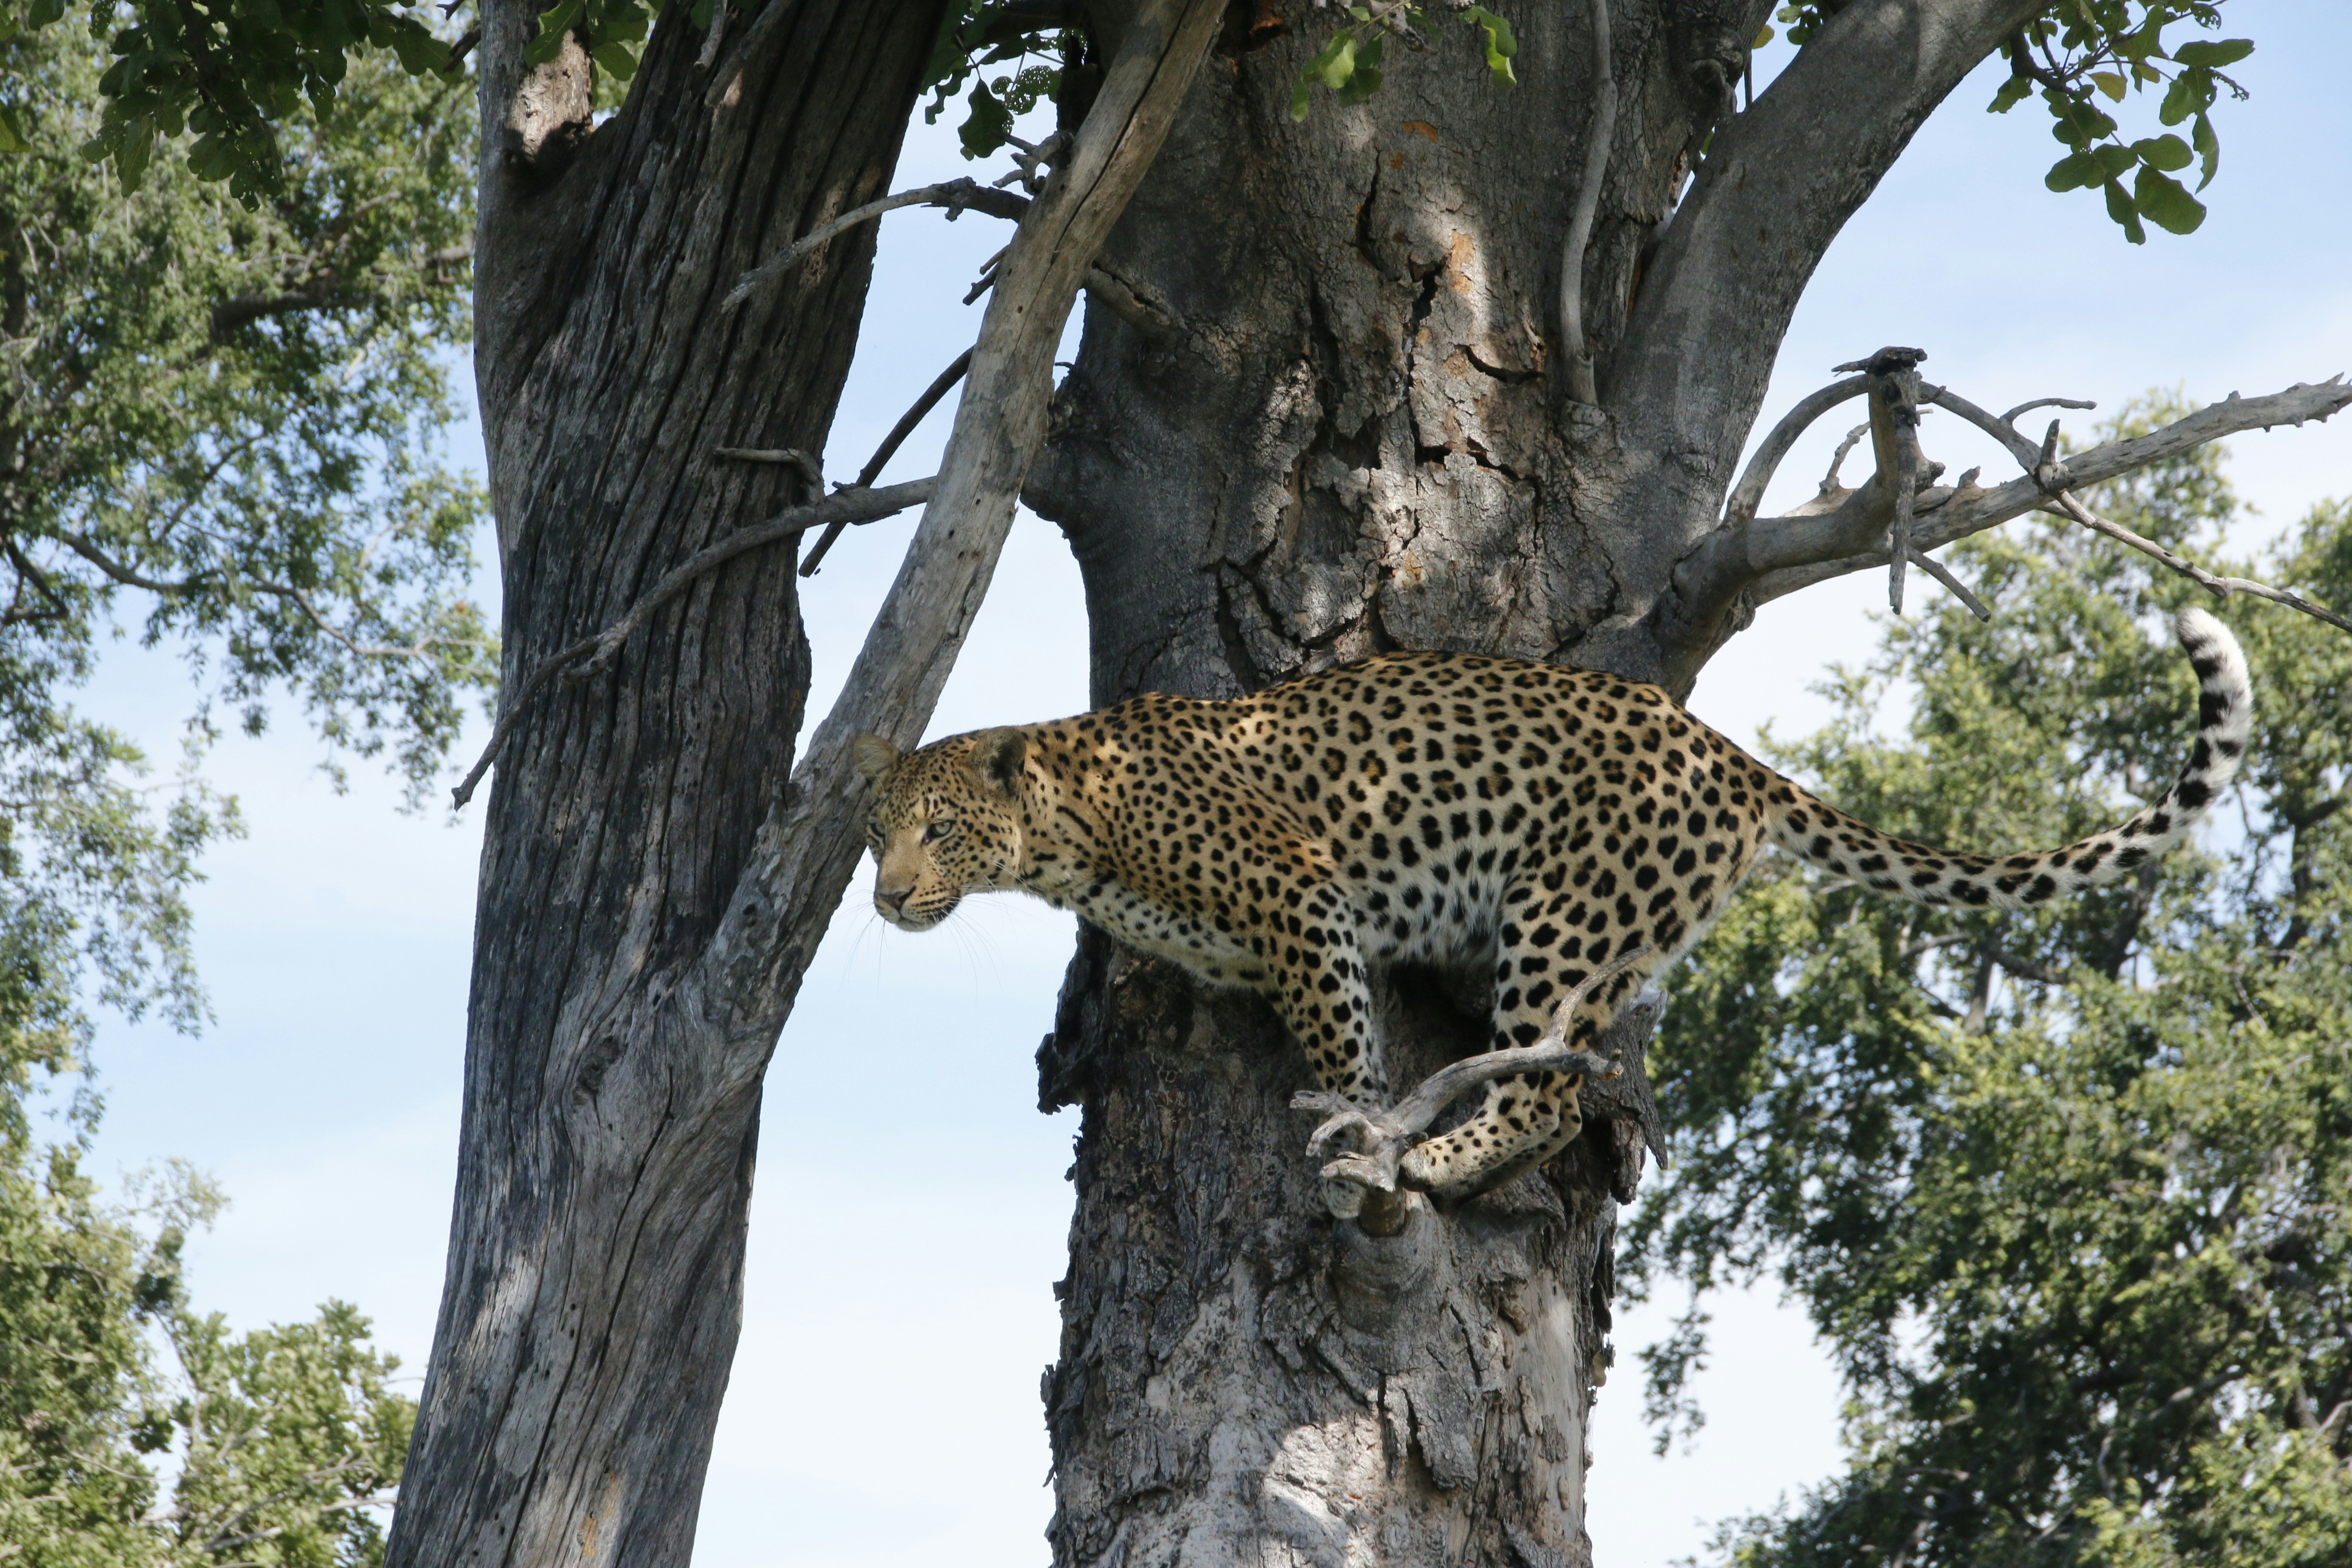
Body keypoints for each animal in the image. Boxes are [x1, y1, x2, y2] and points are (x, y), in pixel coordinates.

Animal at [854, 608, 2251, 1205]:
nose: (889, 895)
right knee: (1574, 1082)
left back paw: (1425, 1160)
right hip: (1607, 939)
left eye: (938, 830)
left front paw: (1354, 1123)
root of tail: (1730, 754)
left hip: (1563, 912)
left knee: (1544, 1092)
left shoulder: (1303, 892)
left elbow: (1344, 1040)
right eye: (876, 834)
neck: (1069, 842)